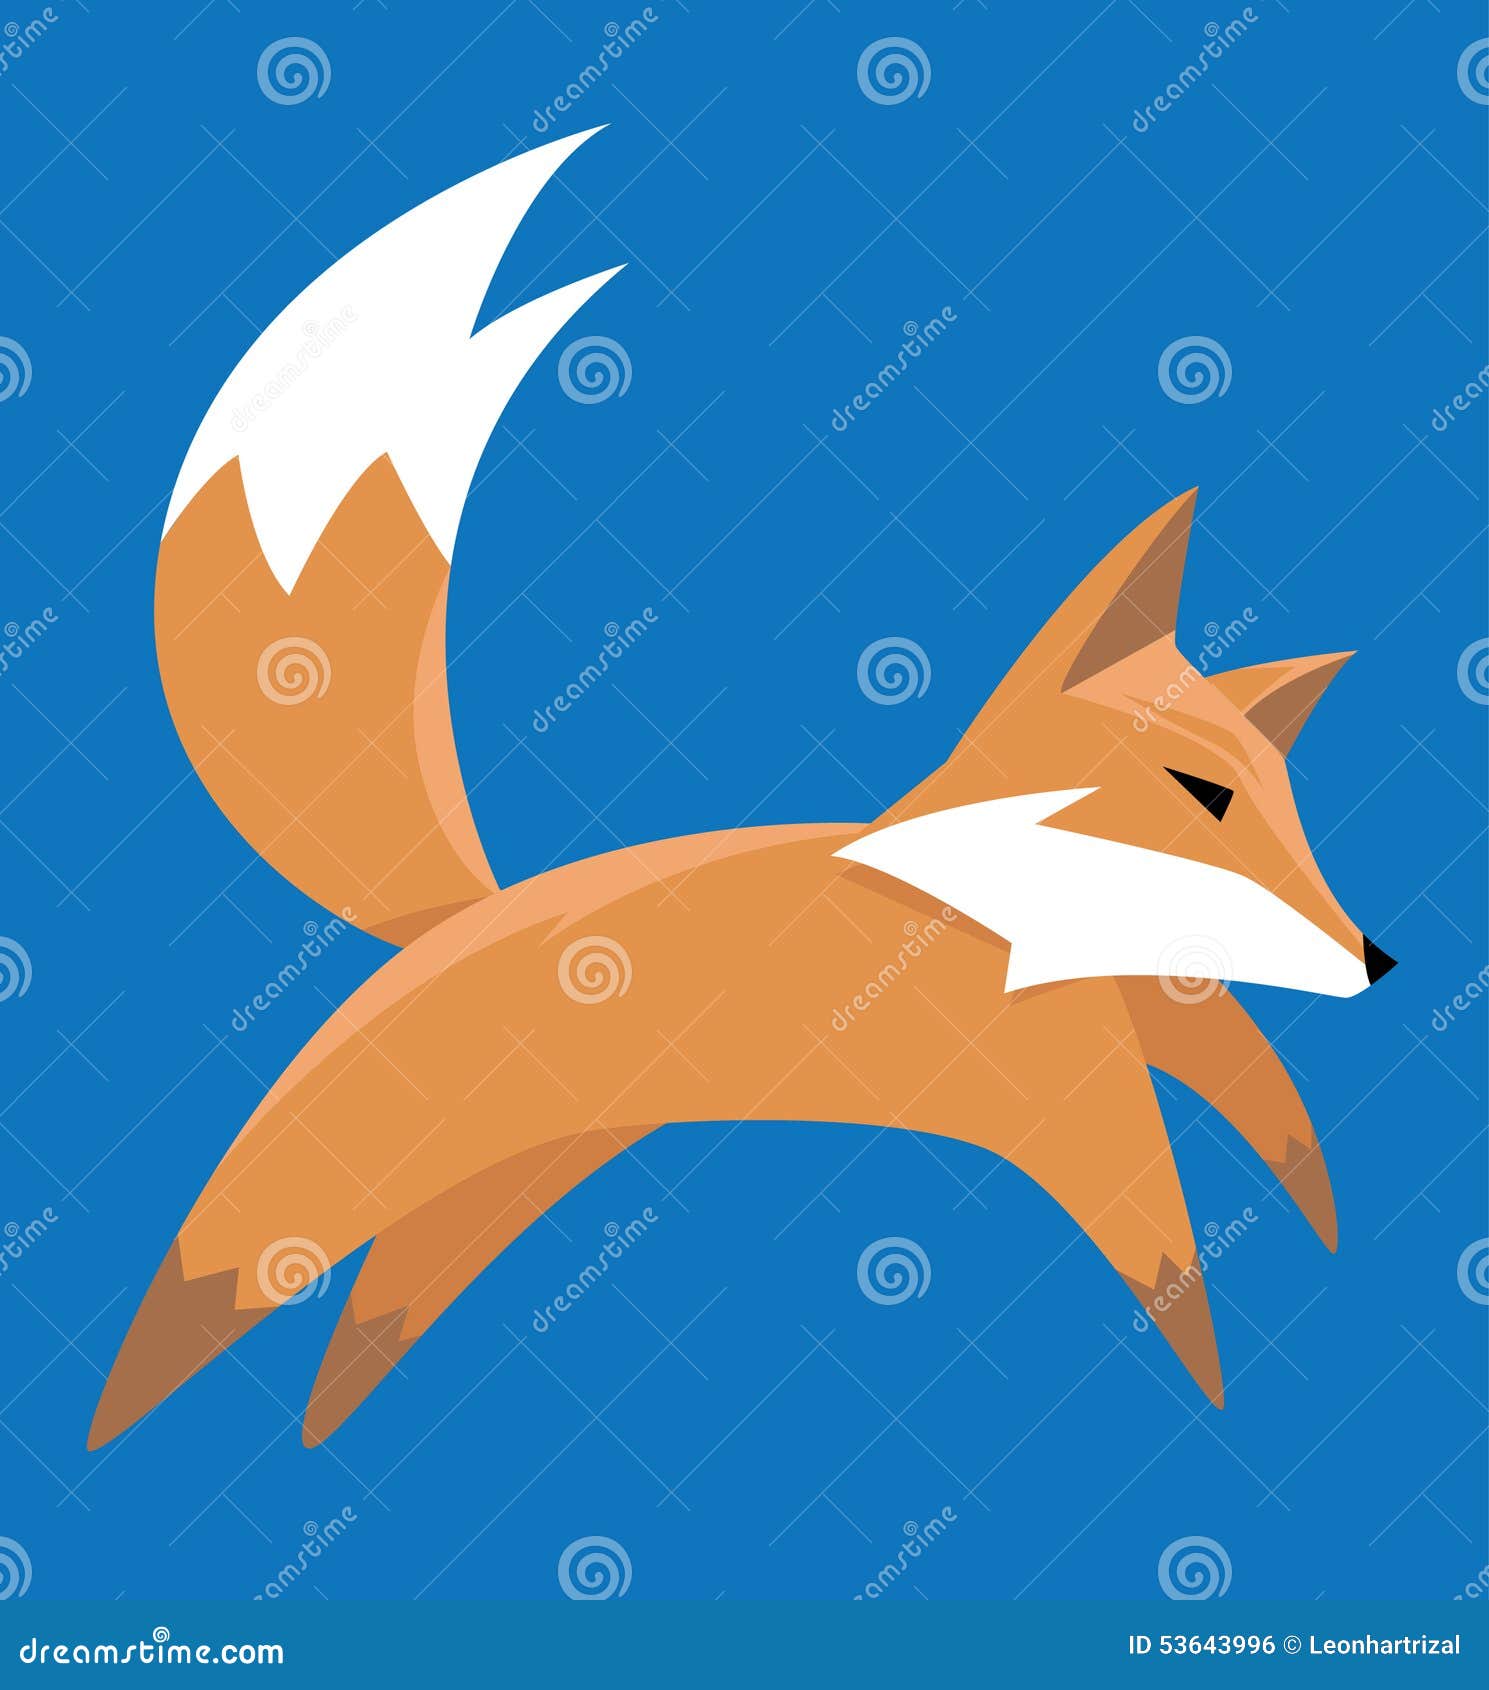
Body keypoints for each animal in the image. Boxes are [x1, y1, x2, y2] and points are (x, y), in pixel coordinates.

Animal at [90, 128, 1396, 1452]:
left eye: (1288, 802)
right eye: (1202, 792)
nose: (1379, 962)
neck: (968, 909)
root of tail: (458, 913)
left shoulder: (1154, 1016)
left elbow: (1263, 1100)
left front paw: (1311, 1201)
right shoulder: (1069, 1098)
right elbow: (1164, 1236)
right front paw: (1213, 1352)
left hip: (471, 1207)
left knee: (368, 1314)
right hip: (300, 1213)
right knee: (209, 1292)